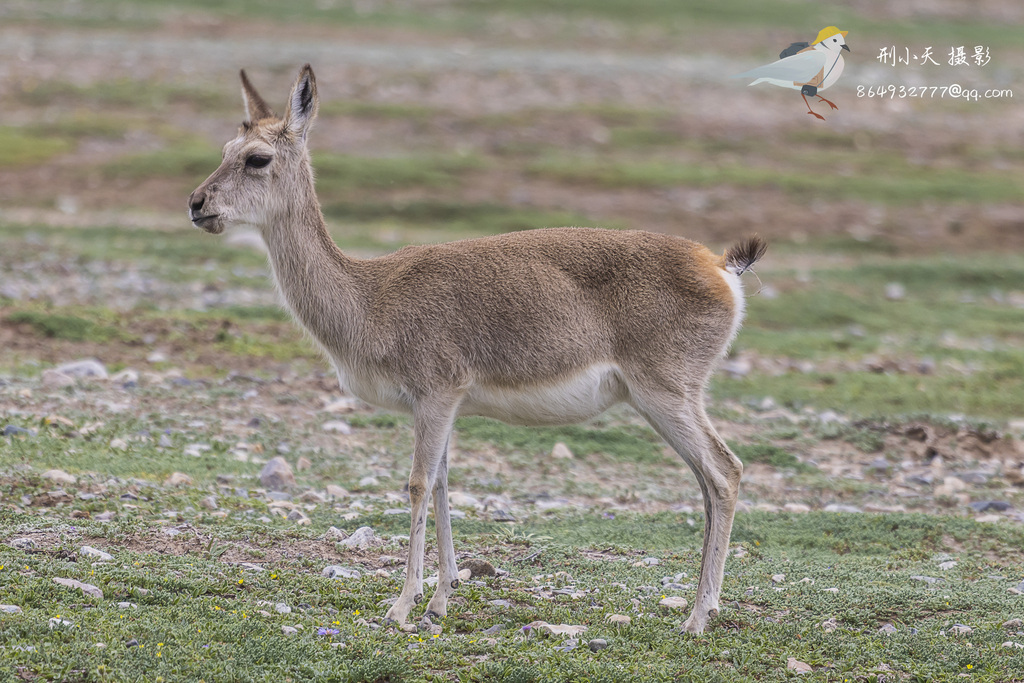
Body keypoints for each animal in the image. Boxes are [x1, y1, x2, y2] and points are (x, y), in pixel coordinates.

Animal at [188, 64, 765, 634]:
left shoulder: (436, 395)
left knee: (724, 473)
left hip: (666, 395)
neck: (369, 295)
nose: (197, 204)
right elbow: (444, 485)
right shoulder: (445, 406)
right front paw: (438, 602)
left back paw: (696, 618)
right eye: (226, 146)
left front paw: (401, 607)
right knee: (709, 481)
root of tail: (721, 266)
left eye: (257, 157)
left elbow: (419, 484)